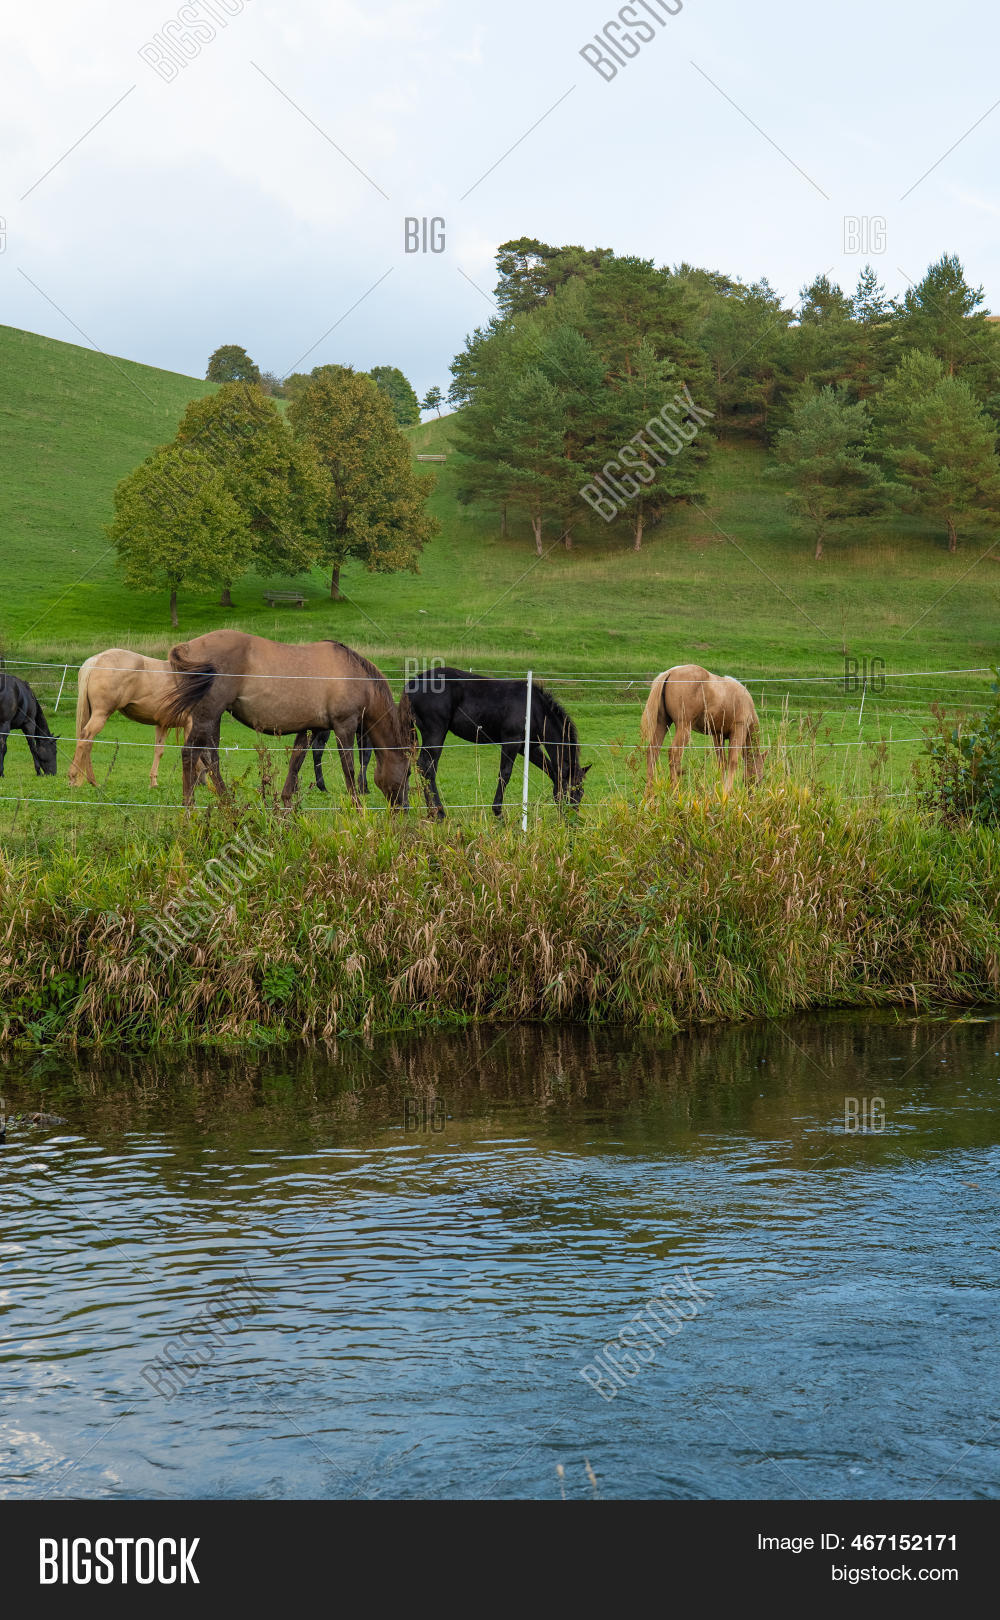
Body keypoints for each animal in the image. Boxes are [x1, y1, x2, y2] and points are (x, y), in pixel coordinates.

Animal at [163, 631, 412, 808]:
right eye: (408, 773)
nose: (404, 807)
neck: (354, 676)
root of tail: (186, 647)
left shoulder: (310, 728)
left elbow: (295, 764)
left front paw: (287, 806)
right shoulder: (345, 726)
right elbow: (348, 768)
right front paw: (358, 808)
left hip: (213, 717)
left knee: (210, 757)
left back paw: (228, 803)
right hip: (208, 714)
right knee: (190, 754)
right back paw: (189, 808)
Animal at [402, 667, 589, 818]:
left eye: (581, 792)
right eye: (573, 791)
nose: (572, 818)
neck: (534, 709)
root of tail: (414, 683)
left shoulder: (527, 747)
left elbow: (549, 769)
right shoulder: (511, 741)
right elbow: (505, 773)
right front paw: (498, 811)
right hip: (435, 733)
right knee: (427, 766)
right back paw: (438, 812)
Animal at [640, 664, 765, 793]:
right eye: (762, 776)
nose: (754, 792)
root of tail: (670, 672)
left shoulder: (718, 736)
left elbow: (722, 763)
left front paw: (720, 789)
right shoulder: (738, 730)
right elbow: (733, 761)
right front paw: (727, 790)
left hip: (662, 725)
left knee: (652, 752)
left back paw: (649, 792)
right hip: (684, 728)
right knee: (674, 754)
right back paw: (675, 789)